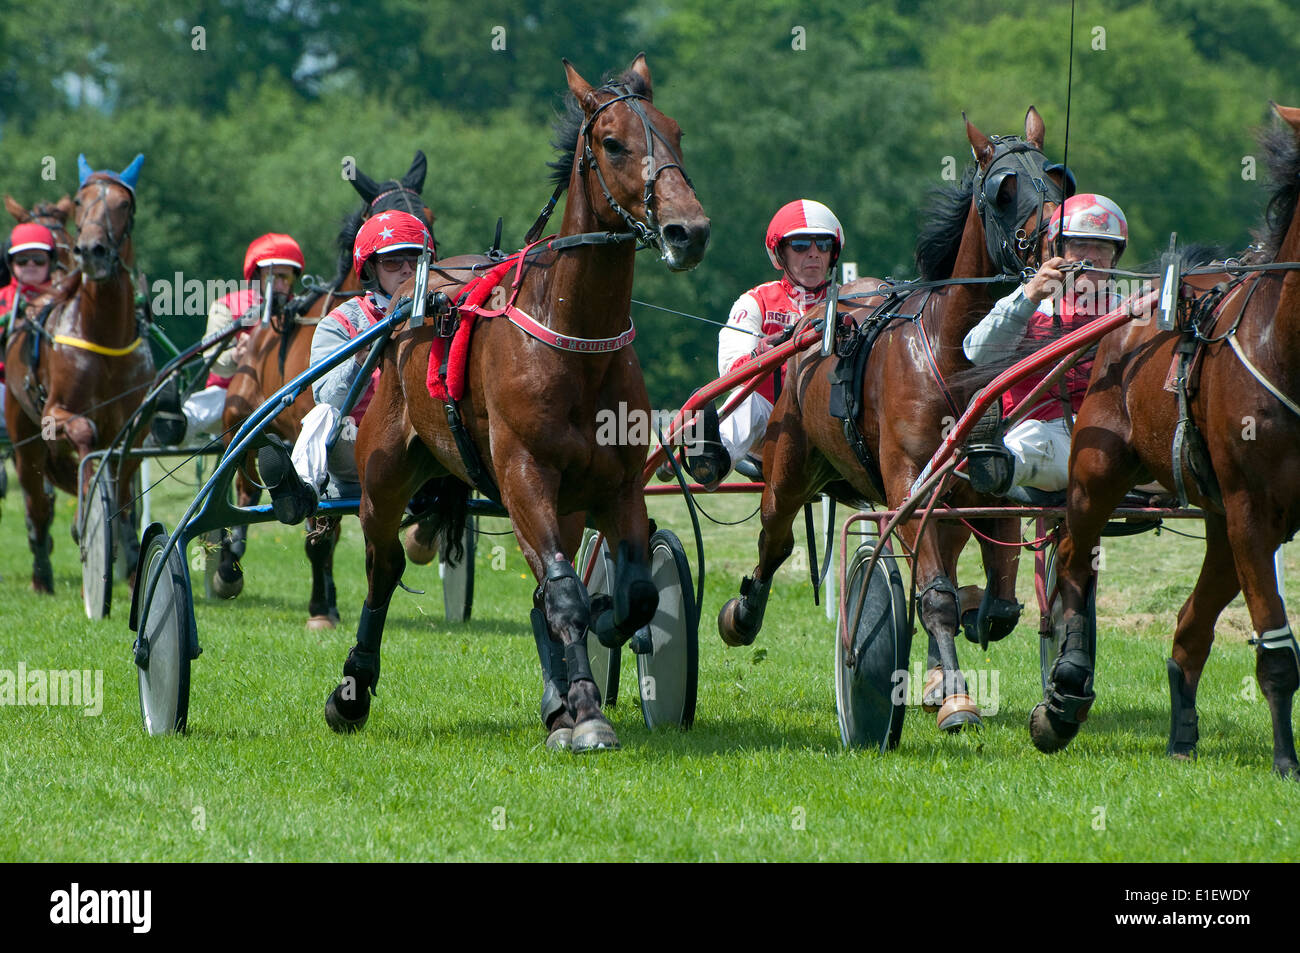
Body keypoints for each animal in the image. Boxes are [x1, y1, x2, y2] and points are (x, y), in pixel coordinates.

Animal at [3, 155, 153, 592]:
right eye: (81, 202)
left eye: (124, 204)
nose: (91, 250)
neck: (102, 332)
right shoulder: (56, 414)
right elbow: (85, 434)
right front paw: (84, 514)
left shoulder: (136, 424)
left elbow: (123, 475)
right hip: (22, 435)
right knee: (37, 505)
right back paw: (41, 574)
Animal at [208, 152, 435, 631]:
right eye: (379, 215)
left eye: (428, 214)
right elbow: (318, 529)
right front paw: (318, 608)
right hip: (241, 416)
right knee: (243, 485)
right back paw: (229, 567)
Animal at [321, 54, 709, 751]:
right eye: (613, 142)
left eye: (676, 133)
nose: (687, 230)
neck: (576, 341)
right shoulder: (525, 472)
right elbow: (563, 593)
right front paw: (587, 710)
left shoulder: (614, 484)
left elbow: (633, 594)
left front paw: (595, 653)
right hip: (383, 474)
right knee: (383, 567)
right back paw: (354, 689)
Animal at [717, 108, 1073, 733]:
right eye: (1004, 190)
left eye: (1054, 181)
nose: (1053, 244)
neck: (954, 351)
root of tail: (816, 318)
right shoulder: (908, 478)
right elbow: (935, 596)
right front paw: (956, 699)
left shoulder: (983, 483)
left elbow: (999, 605)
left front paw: (964, 638)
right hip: (788, 466)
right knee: (774, 538)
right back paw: (744, 613)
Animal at [1048, 102, 1300, 777]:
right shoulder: (1251, 508)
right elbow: (1277, 650)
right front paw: (1286, 762)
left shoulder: (1252, 514)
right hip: (1097, 471)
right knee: (1071, 559)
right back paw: (1063, 692)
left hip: (1217, 516)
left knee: (1190, 625)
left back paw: (1182, 731)